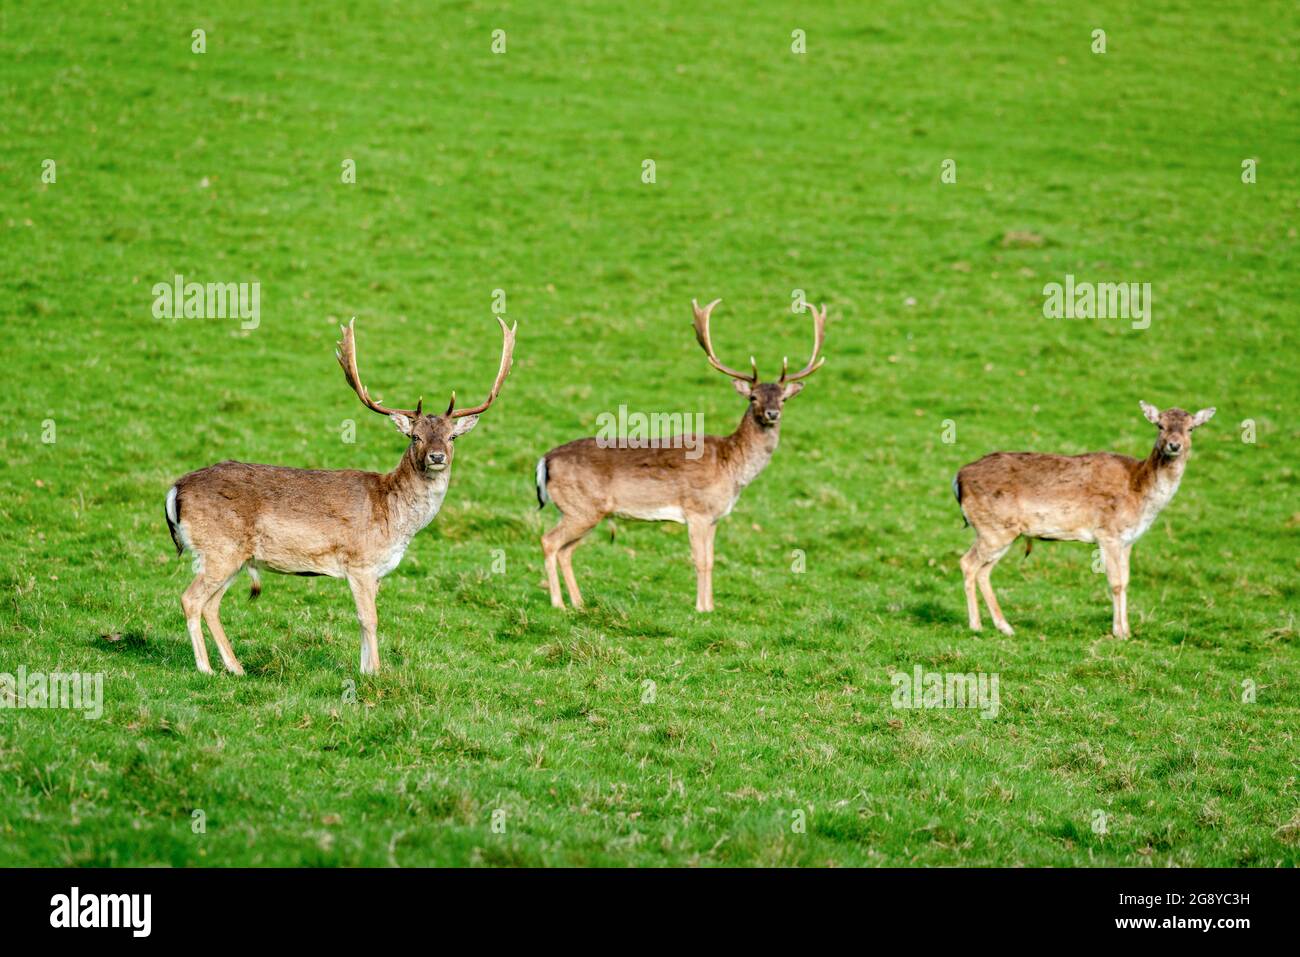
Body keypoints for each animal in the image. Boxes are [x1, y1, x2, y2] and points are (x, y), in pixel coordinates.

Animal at [163, 316, 516, 675]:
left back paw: (236, 668)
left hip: (231, 557)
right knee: (190, 599)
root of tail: (176, 488)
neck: (395, 518)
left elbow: (363, 621)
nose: (436, 456)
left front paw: (364, 670)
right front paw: (376, 672)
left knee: (211, 605)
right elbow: (369, 619)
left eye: (451, 437)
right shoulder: (360, 562)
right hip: (219, 549)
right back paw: (205, 669)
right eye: (415, 436)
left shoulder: (377, 571)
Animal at [535, 298, 826, 612]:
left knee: (565, 550)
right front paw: (701, 608)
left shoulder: (715, 517)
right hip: (582, 508)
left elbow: (711, 561)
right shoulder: (697, 510)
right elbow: (700, 561)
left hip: (583, 510)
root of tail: (545, 461)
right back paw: (558, 603)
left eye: (783, 398)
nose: (772, 413)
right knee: (549, 541)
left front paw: (711, 607)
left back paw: (578, 603)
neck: (732, 467)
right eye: (753, 397)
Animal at [952, 401, 1215, 639]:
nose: (1174, 444)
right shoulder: (1108, 533)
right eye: (1160, 425)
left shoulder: (1128, 540)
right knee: (967, 563)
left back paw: (1005, 627)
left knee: (983, 571)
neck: (1139, 491)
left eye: (1191, 428)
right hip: (993, 529)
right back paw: (976, 625)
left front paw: (1128, 631)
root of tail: (958, 478)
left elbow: (1126, 581)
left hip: (1000, 532)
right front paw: (1119, 633)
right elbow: (1115, 583)